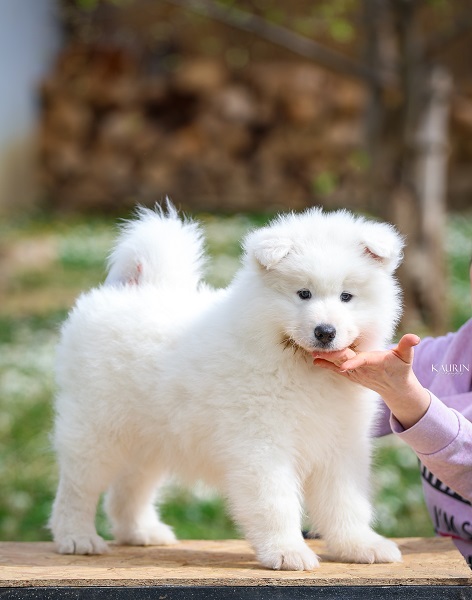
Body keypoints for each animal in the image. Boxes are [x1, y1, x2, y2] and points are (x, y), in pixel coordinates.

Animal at [52, 204, 406, 568]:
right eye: (303, 294)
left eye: (347, 296)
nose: (325, 331)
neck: (300, 366)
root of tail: (133, 289)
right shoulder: (262, 444)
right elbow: (276, 503)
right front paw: (287, 552)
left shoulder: (341, 445)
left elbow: (346, 502)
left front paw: (360, 545)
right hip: (97, 430)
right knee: (78, 488)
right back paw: (77, 537)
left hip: (151, 436)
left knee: (129, 488)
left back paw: (141, 532)